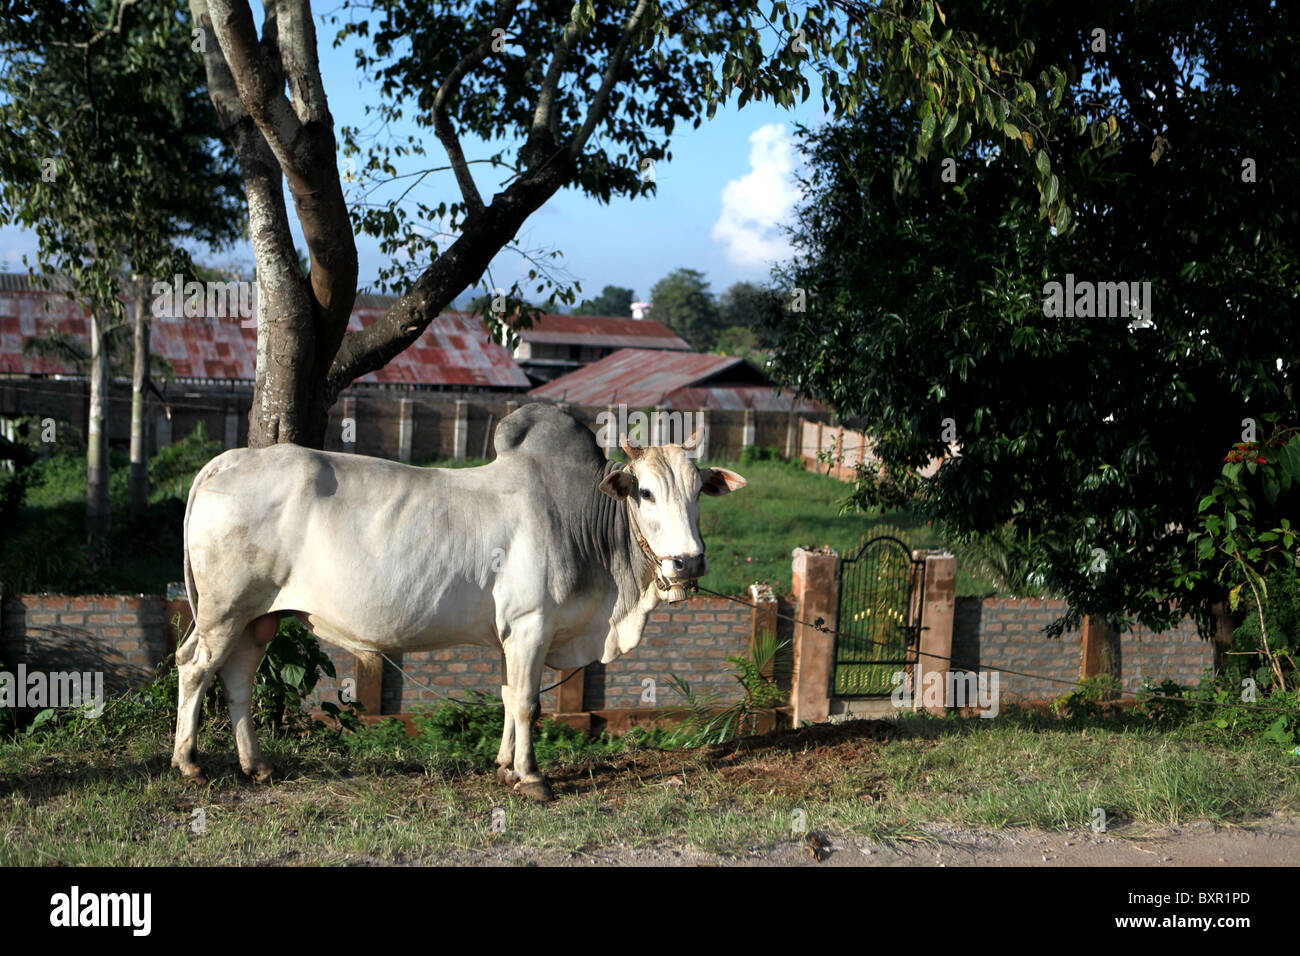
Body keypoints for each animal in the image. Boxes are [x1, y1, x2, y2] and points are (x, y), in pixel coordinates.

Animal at [173, 403, 745, 801]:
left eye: (698, 491)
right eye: (645, 493)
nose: (688, 563)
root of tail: (225, 461)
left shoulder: (511, 634)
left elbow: (509, 696)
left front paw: (504, 765)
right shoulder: (530, 625)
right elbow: (528, 701)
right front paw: (531, 777)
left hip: (260, 617)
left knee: (238, 676)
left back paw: (256, 765)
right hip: (225, 610)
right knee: (196, 668)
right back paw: (189, 763)